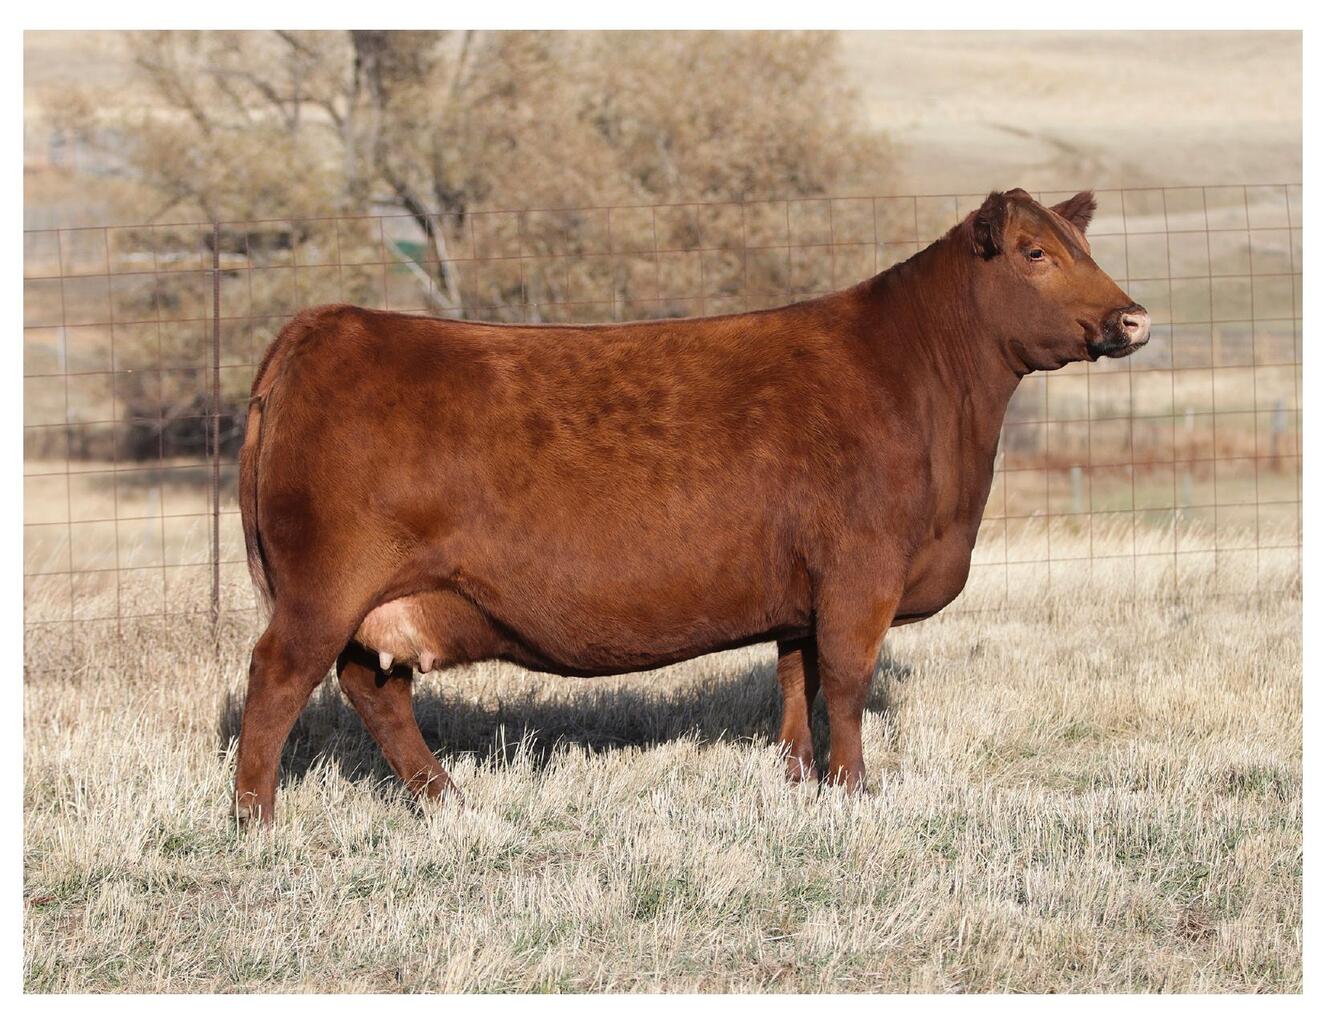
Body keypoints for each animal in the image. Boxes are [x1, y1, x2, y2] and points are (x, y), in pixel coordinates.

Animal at [234, 188, 1149, 824]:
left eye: (1082, 245)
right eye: (1034, 252)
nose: (1132, 317)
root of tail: (327, 323)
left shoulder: (799, 590)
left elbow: (795, 680)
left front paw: (799, 778)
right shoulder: (862, 572)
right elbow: (847, 680)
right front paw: (855, 790)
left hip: (374, 605)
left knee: (374, 692)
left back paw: (446, 800)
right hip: (324, 588)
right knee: (277, 680)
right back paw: (257, 822)